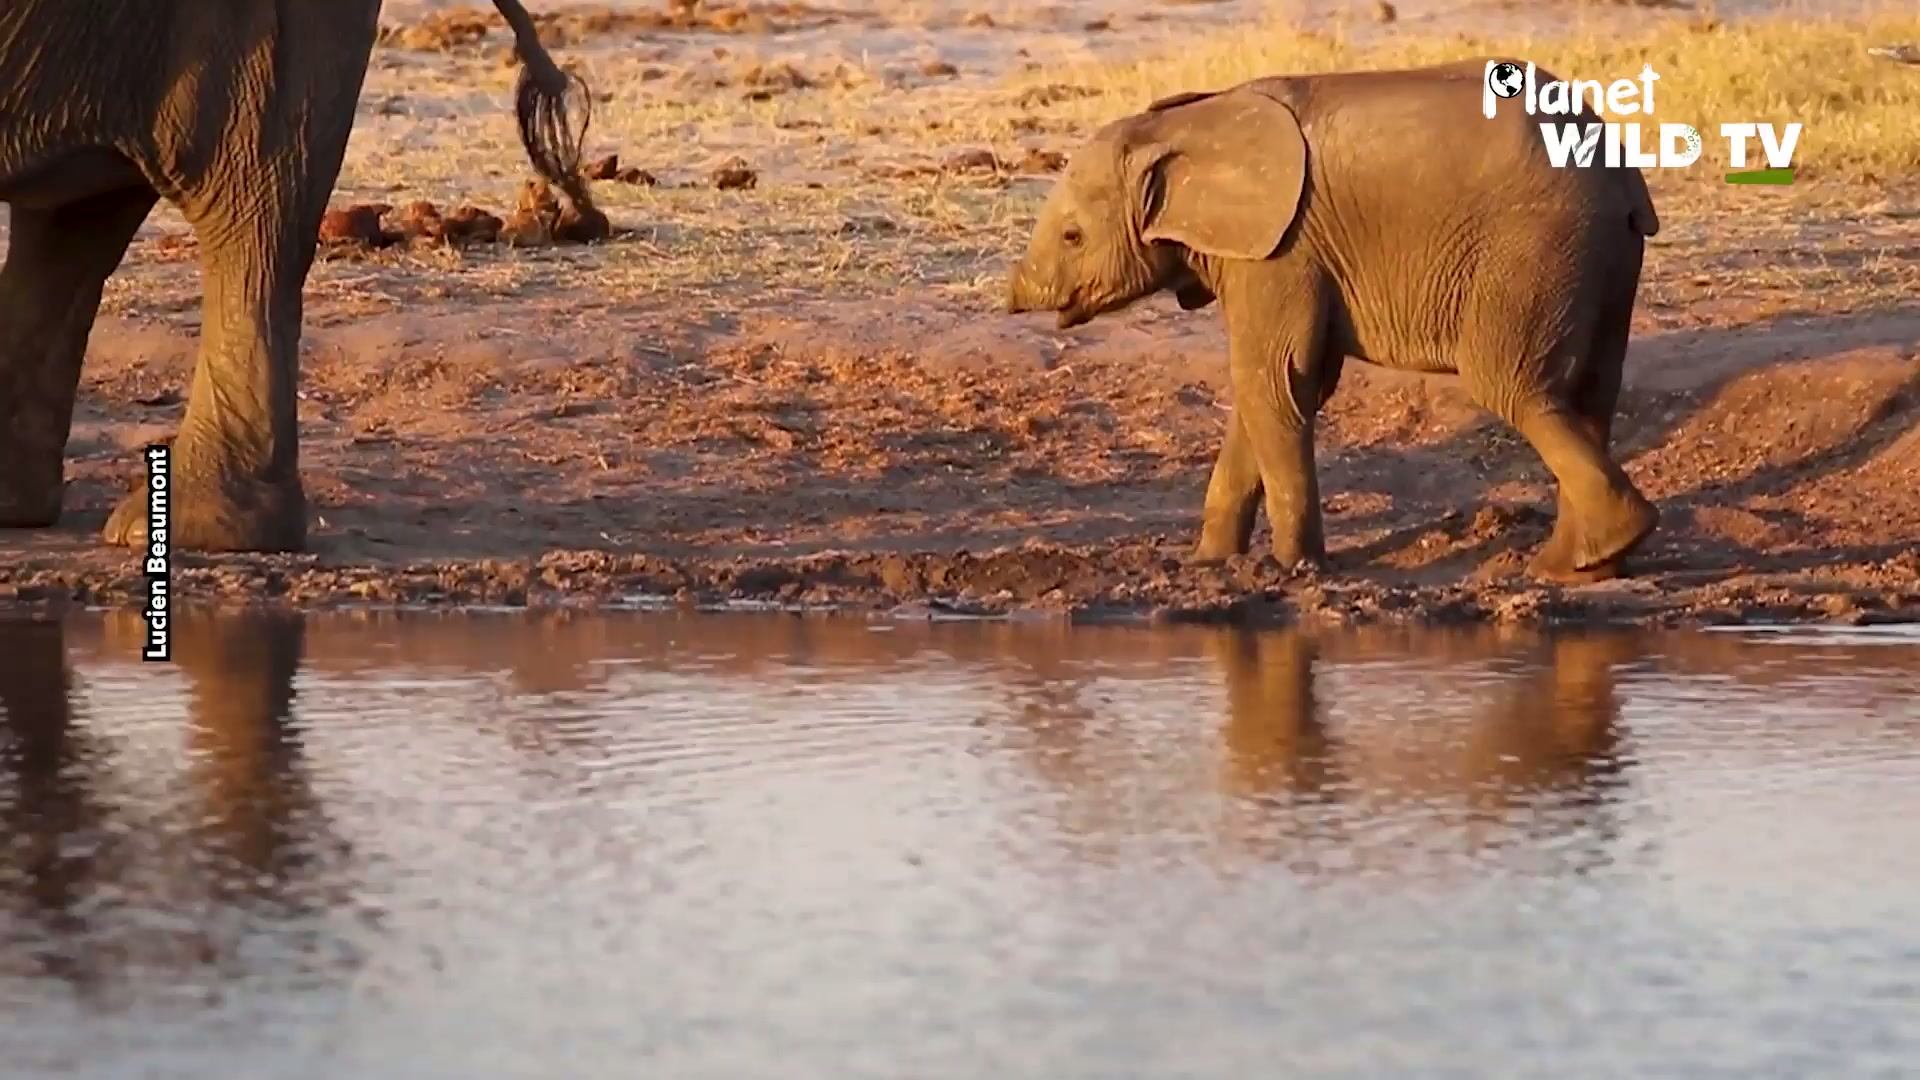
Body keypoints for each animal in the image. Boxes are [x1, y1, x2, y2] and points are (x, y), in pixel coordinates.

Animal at [1005, 59, 1663, 582]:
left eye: (1072, 236)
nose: (1015, 300)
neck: (1179, 126)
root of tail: (1622, 178)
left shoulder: (1283, 249)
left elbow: (1274, 381)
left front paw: (1291, 570)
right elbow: (1279, 389)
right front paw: (1209, 565)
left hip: (1535, 246)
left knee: (1510, 384)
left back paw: (1589, 551)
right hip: (1600, 256)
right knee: (1589, 392)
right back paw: (1583, 567)